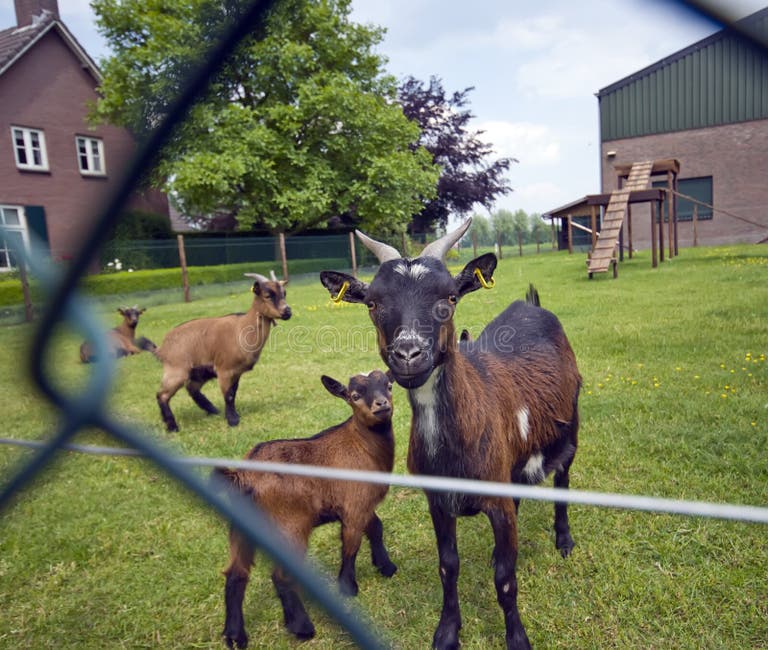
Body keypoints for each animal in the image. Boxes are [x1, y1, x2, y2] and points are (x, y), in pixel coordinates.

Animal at [154, 272, 291, 432]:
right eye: (267, 295)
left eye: (284, 293)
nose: (287, 312)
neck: (242, 327)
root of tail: (162, 348)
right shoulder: (224, 370)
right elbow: (228, 395)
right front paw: (233, 421)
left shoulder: (236, 372)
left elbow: (233, 393)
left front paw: (233, 416)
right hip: (177, 371)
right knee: (162, 395)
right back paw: (172, 426)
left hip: (199, 372)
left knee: (192, 389)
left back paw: (213, 410)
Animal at [214, 369, 397, 647]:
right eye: (354, 396)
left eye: (388, 386)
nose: (382, 404)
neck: (361, 443)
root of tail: (244, 476)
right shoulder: (354, 505)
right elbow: (351, 545)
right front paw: (347, 588)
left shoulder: (362, 504)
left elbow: (376, 528)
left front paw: (385, 566)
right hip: (291, 525)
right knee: (281, 575)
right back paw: (302, 628)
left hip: (242, 526)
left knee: (236, 573)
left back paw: (235, 635)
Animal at [320, 219, 581, 650]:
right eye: (372, 303)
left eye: (451, 297)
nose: (408, 355)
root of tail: (531, 304)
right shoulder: (439, 500)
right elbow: (448, 567)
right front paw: (447, 631)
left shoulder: (496, 500)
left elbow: (505, 580)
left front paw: (517, 637)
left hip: (571, 425)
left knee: (563, 479)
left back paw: (563, 540)